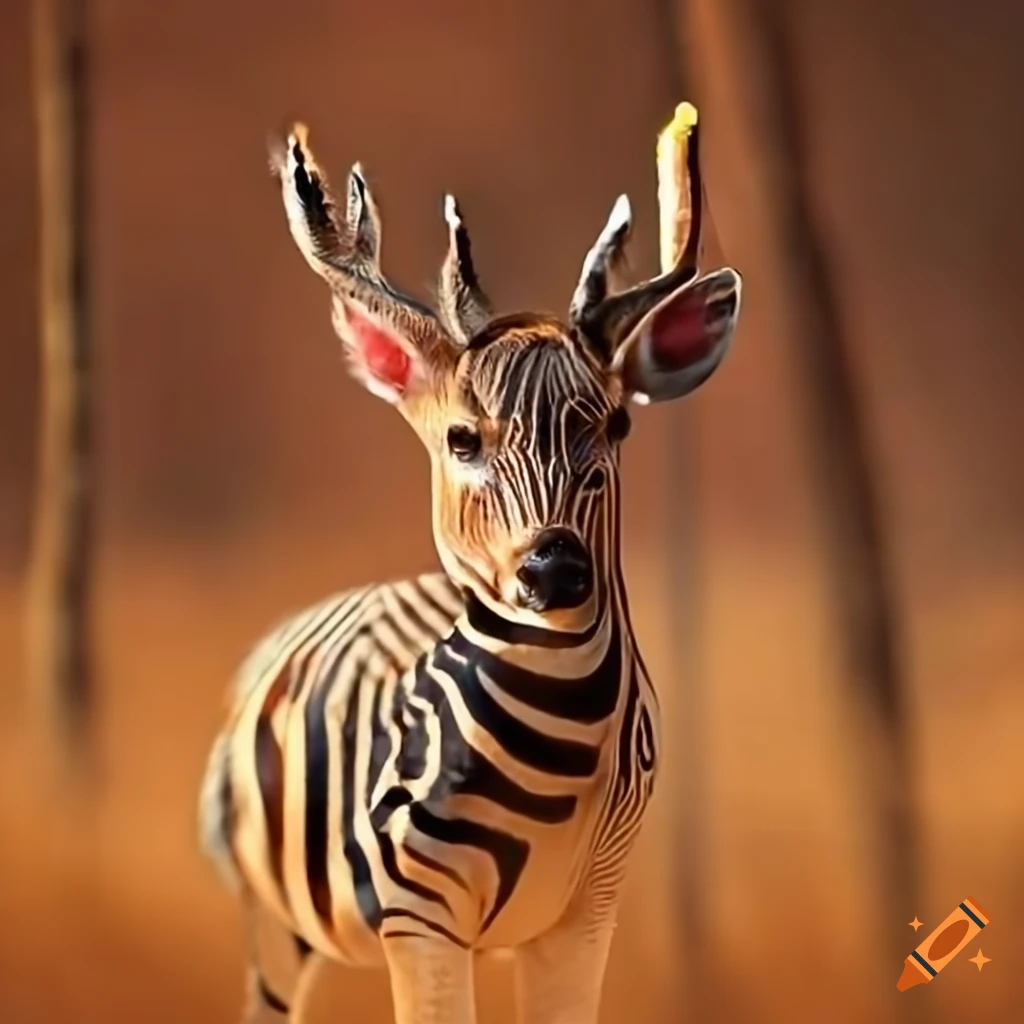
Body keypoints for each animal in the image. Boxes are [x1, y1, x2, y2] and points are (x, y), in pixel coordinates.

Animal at [198, 117, 741, 1024]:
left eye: (618, 426)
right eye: (462, 440)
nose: (555, 573)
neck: (561, 738)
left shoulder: (588, 910)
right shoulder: (419, 920)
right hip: (275, 921)